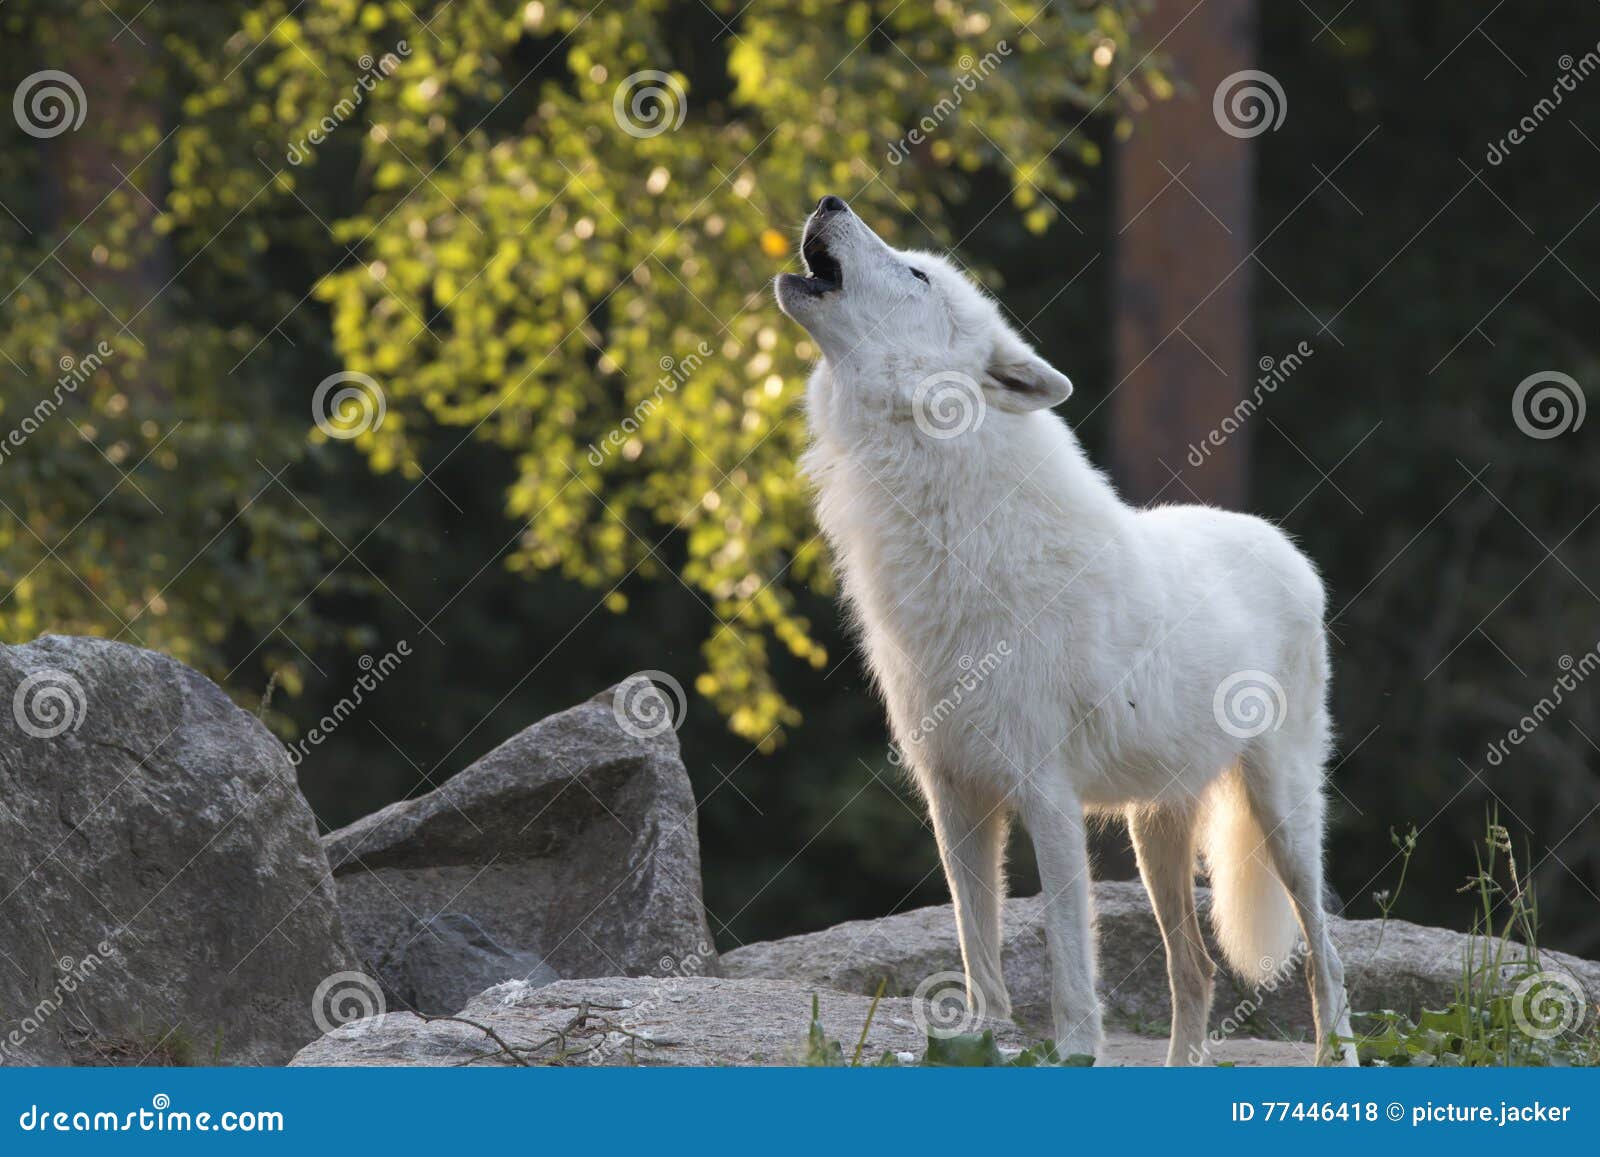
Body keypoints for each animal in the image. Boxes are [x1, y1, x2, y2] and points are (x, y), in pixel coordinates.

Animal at [775, 195, 1357, 1066]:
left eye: (916, 273)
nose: (830, 201)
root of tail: (1284, 543)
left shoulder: (1045, 795)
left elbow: (1067, 966)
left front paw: (1076, 1053)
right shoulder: (954, 796)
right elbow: (977, 948)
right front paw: (980, 1041)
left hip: (1283, 815)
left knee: (1326, 961)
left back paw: (1339, 1056)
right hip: (1157, 832)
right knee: (1196, 971)